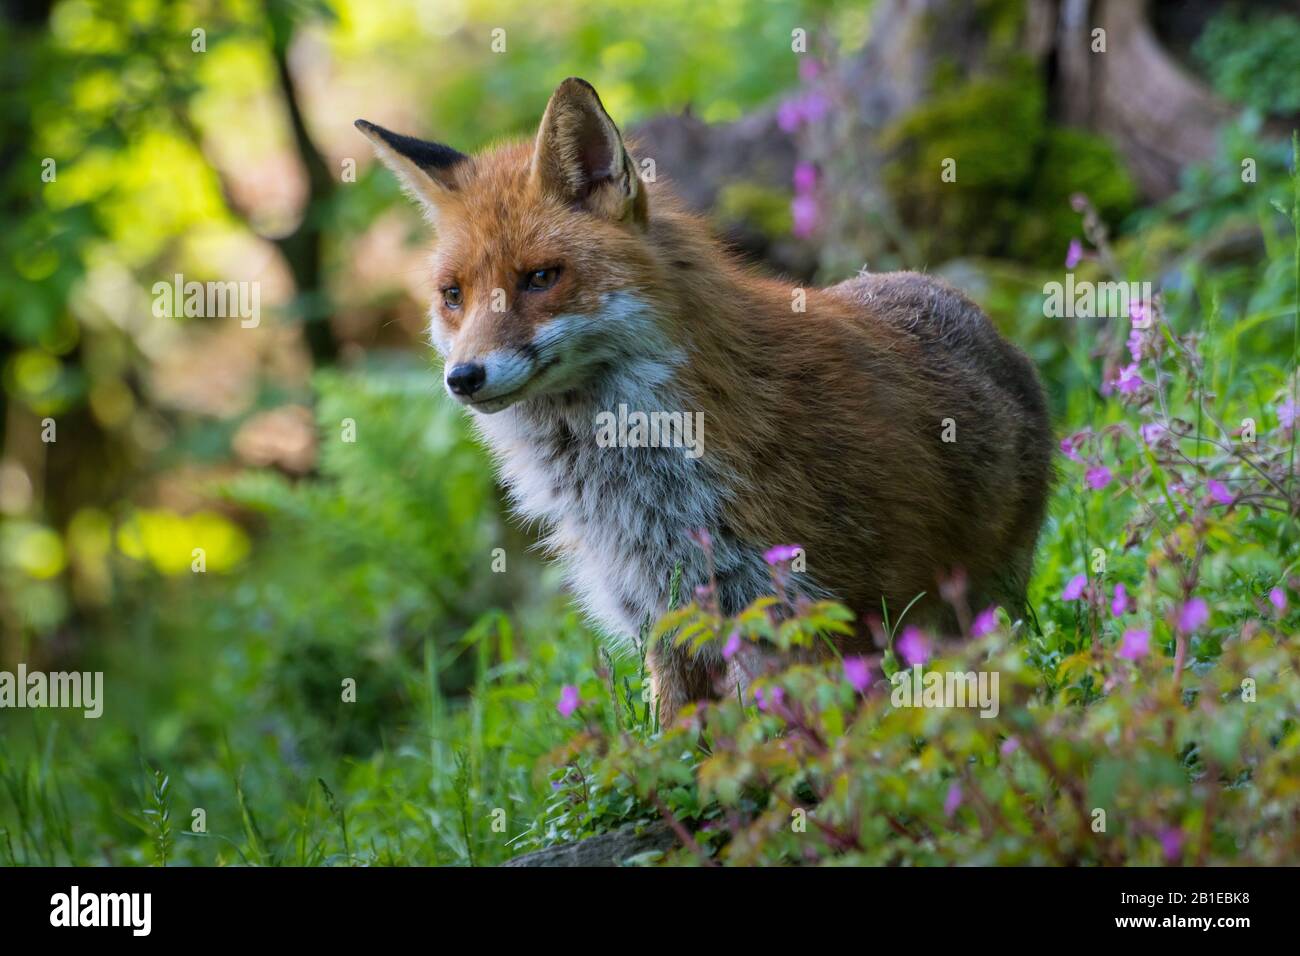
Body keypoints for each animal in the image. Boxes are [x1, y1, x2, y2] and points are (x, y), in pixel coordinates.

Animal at [356, 77, 1053, 724]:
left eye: (541, 278)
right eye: (453, 295)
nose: (463, 377)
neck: (643, 491)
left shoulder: (827, 610)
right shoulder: (666, 622)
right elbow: (681, 745)